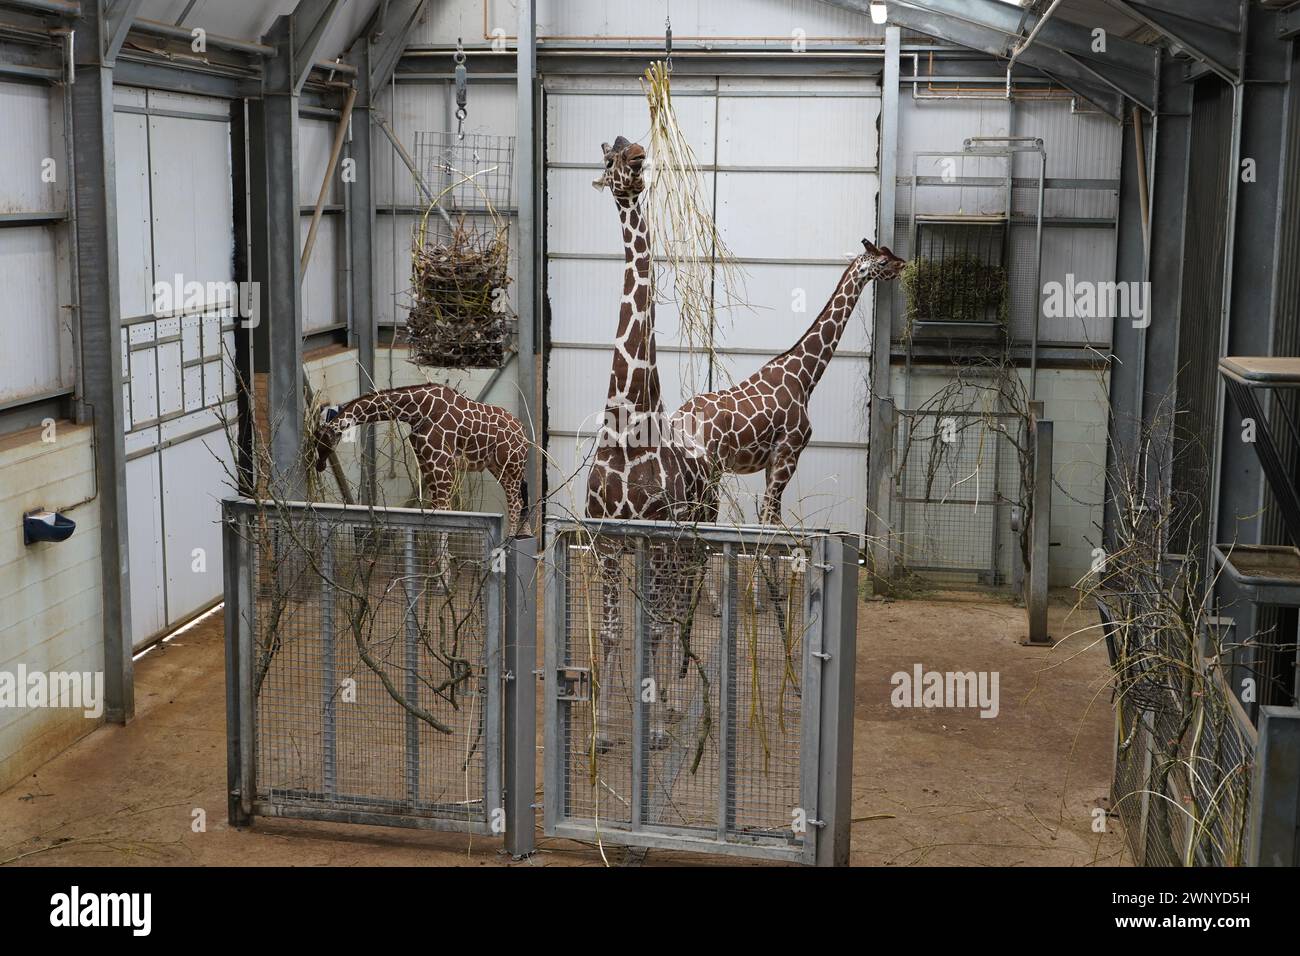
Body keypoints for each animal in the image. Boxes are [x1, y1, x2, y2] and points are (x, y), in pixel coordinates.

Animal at [312, 382, 529, 536]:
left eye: (321, 441)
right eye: (315, 439)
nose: (319, 466)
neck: (417, 411)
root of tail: (523, 432)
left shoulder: (441, 467)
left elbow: (446, 517)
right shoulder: (427, 464)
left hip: (511, 466)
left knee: (516, 502)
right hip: (499, 467)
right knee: (520, 496)